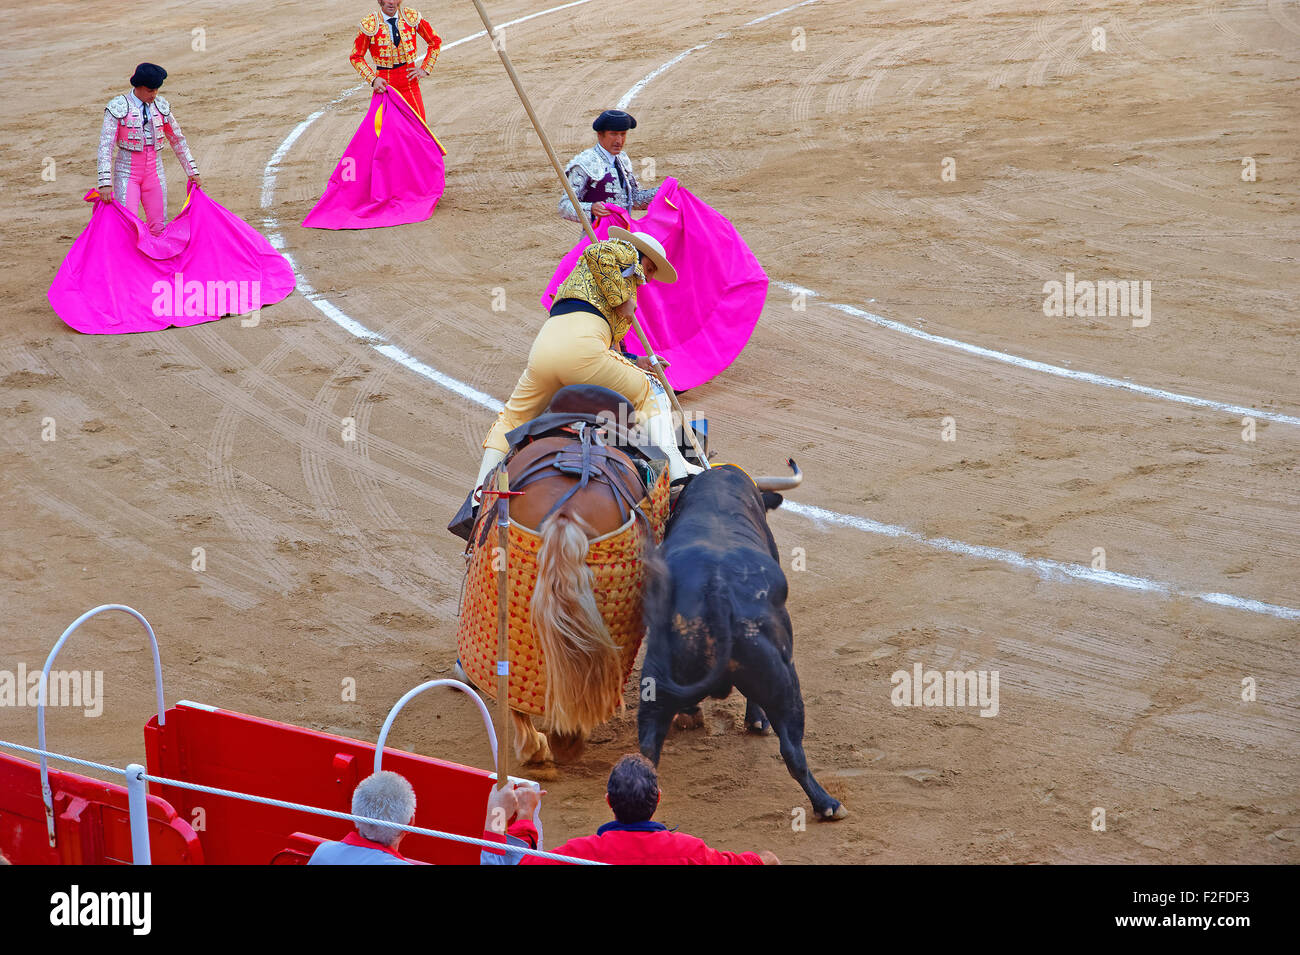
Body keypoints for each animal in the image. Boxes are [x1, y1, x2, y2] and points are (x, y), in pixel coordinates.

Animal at [637, 463, 847, 820]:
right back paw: (828, 804)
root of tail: (716, 596)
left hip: (654, 679)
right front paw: (757, 720)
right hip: (785, 681)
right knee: (792, 750)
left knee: (647, 752)